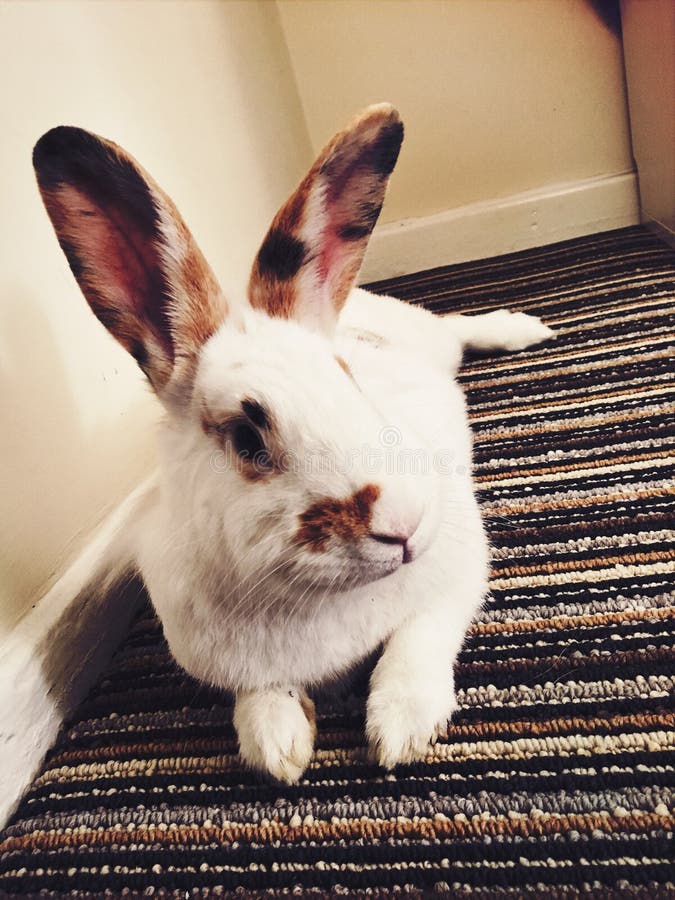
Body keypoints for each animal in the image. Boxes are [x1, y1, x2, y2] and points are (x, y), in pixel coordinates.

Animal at [33, 104, 554, 783]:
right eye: (246, 437)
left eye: (350, 380)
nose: (403, 527)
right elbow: (259, 693)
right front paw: (278, 746)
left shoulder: (456, 574)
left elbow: (417, 641)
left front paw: (400, 729)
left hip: (432, 340)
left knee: (456, 326)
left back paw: (523, 329)